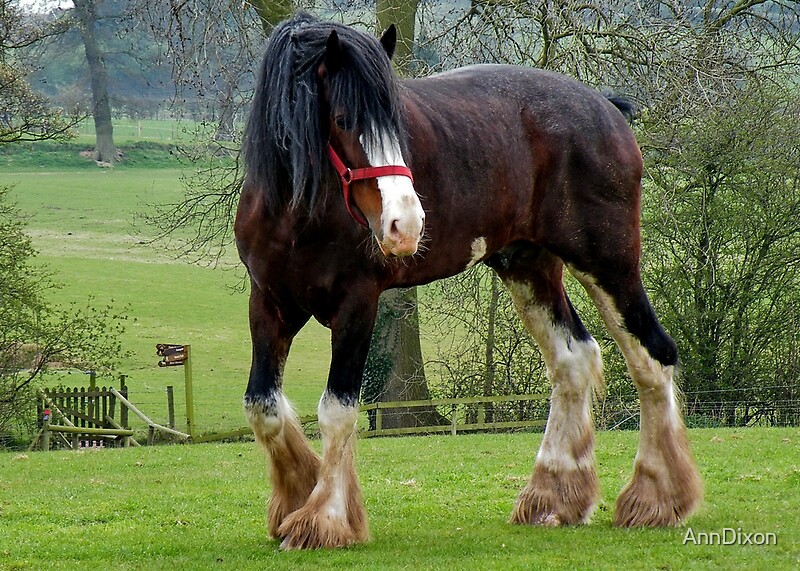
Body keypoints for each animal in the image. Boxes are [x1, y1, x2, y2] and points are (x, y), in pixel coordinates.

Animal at [235, 13, 702, 550]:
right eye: (345, 120)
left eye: (397, 122)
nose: (406, 224)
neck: (298, 216)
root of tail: (605, 107)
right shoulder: (269, 305)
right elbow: (263, 407)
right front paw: (296, 497)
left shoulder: (357, 307)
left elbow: (337, 411)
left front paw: (324, 519)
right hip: (528, 266)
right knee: (574, 361)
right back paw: (555, 497)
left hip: (607, 264)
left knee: (652, 357)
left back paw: (657, 498)